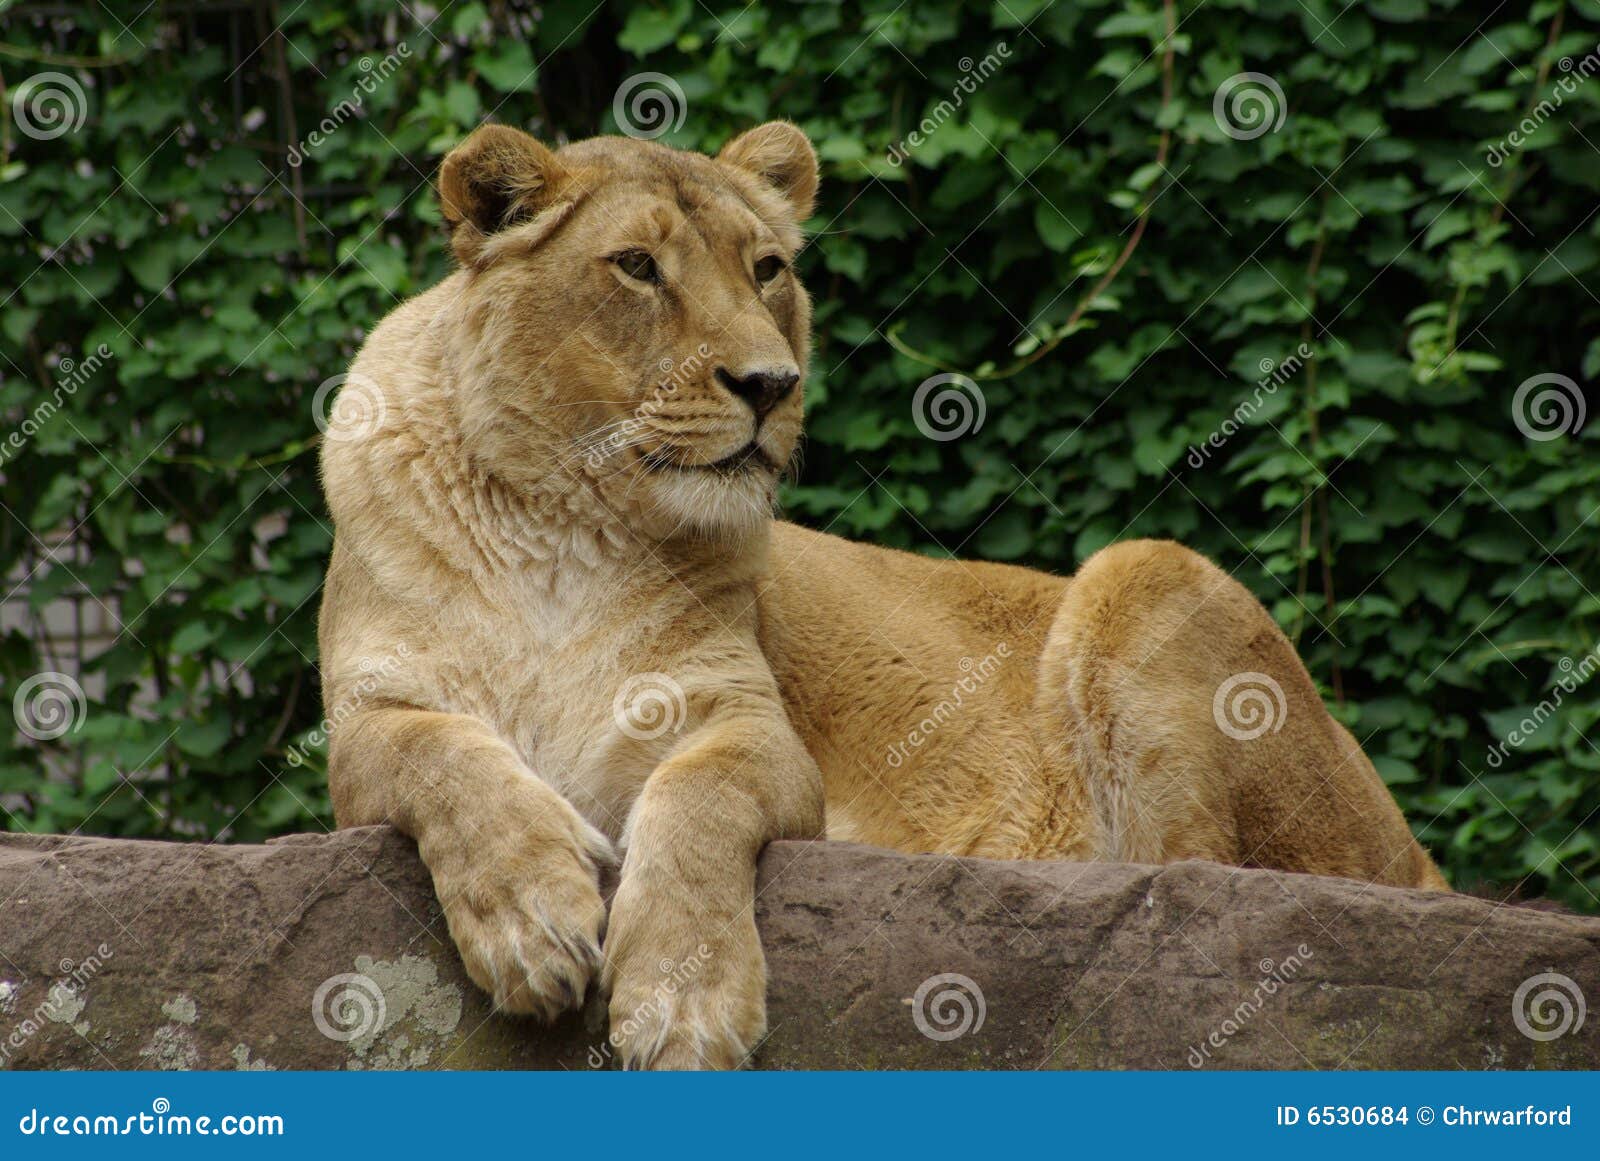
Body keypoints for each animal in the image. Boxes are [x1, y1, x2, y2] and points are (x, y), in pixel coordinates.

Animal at [318, 120, 1448, 1070]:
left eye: (765, 270)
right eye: (636, 267)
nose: (768, 385)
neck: (563, 525)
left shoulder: (751, 726)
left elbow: (696, 803)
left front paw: (684, 1005)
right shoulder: (363, 724)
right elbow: (442, 758)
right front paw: (534, 921)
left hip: (1148, 575)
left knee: (1200, 901)